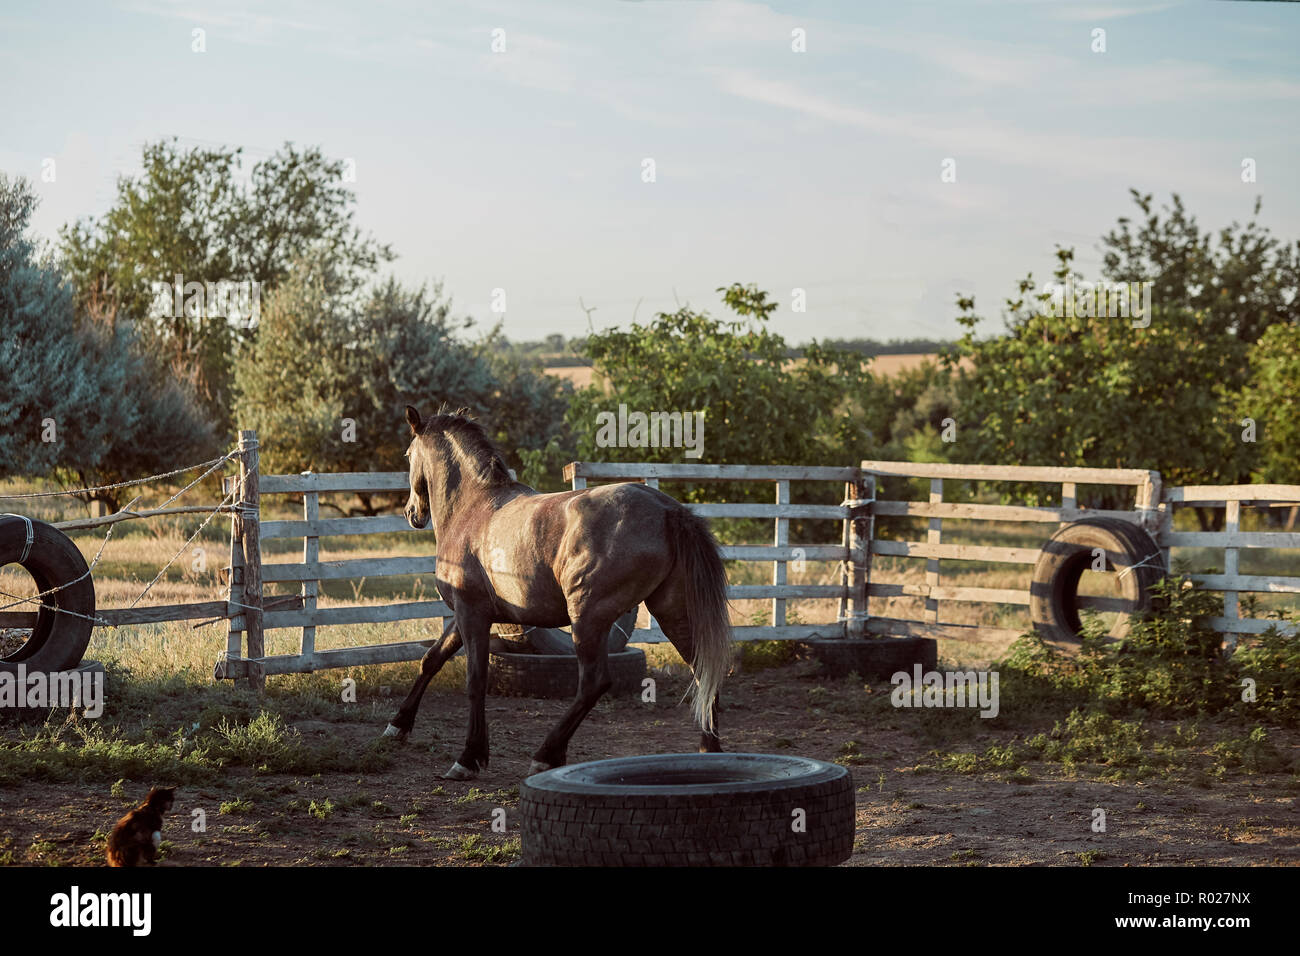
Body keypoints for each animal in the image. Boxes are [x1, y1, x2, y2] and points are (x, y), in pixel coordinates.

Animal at [383, 405, 733, 780]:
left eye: (408, 455)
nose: (412, 513)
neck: (475, 507)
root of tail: (668, 510)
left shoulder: (471, 613)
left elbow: (475, 680)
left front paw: (469, 757)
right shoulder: (468, 615)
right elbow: (431, 659)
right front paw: (398, 726)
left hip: (588, 618)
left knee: (593, 683)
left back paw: (547, 754)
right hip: (672, 611)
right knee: (703, 671)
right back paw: (710, 751)